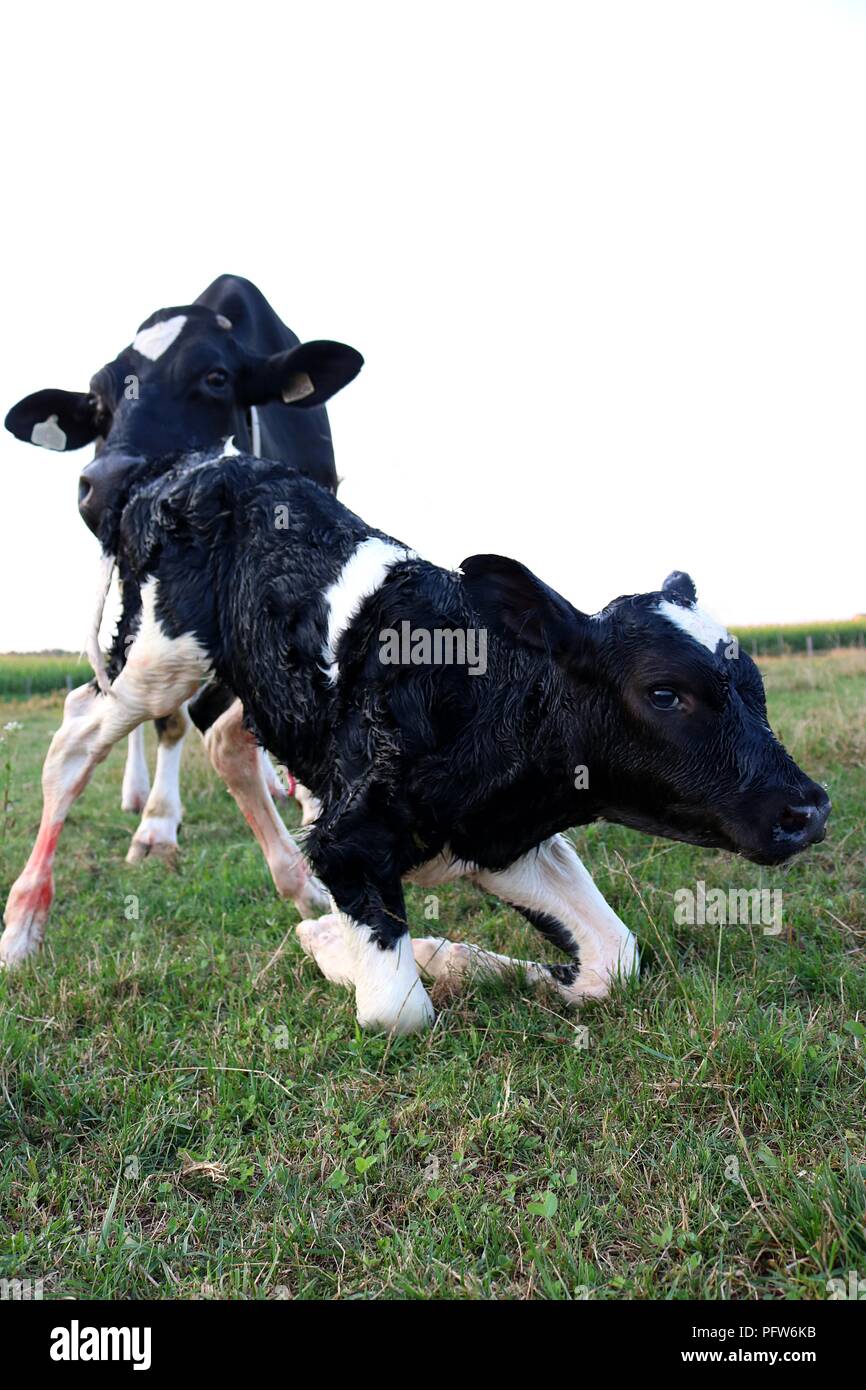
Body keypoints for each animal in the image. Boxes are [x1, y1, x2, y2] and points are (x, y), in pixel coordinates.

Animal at [0, 448, 831, 1036]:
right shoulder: (352, 840)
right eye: (665, 693)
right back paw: (24, 928)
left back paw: (296, 887)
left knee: (227, 743)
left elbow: (613, 960)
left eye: (755, 686)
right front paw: (338, 948)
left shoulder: (498, 842)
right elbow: (398, 1010)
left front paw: (445, 956)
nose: (809, 809)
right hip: (160, 655)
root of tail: (181, 465)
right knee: (74, 738)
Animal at [4, 275, 361, 871]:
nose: (107, 481)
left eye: (215, 378)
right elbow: (169, 715)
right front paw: (157, 824)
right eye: (96, 404)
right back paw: (137, 793)